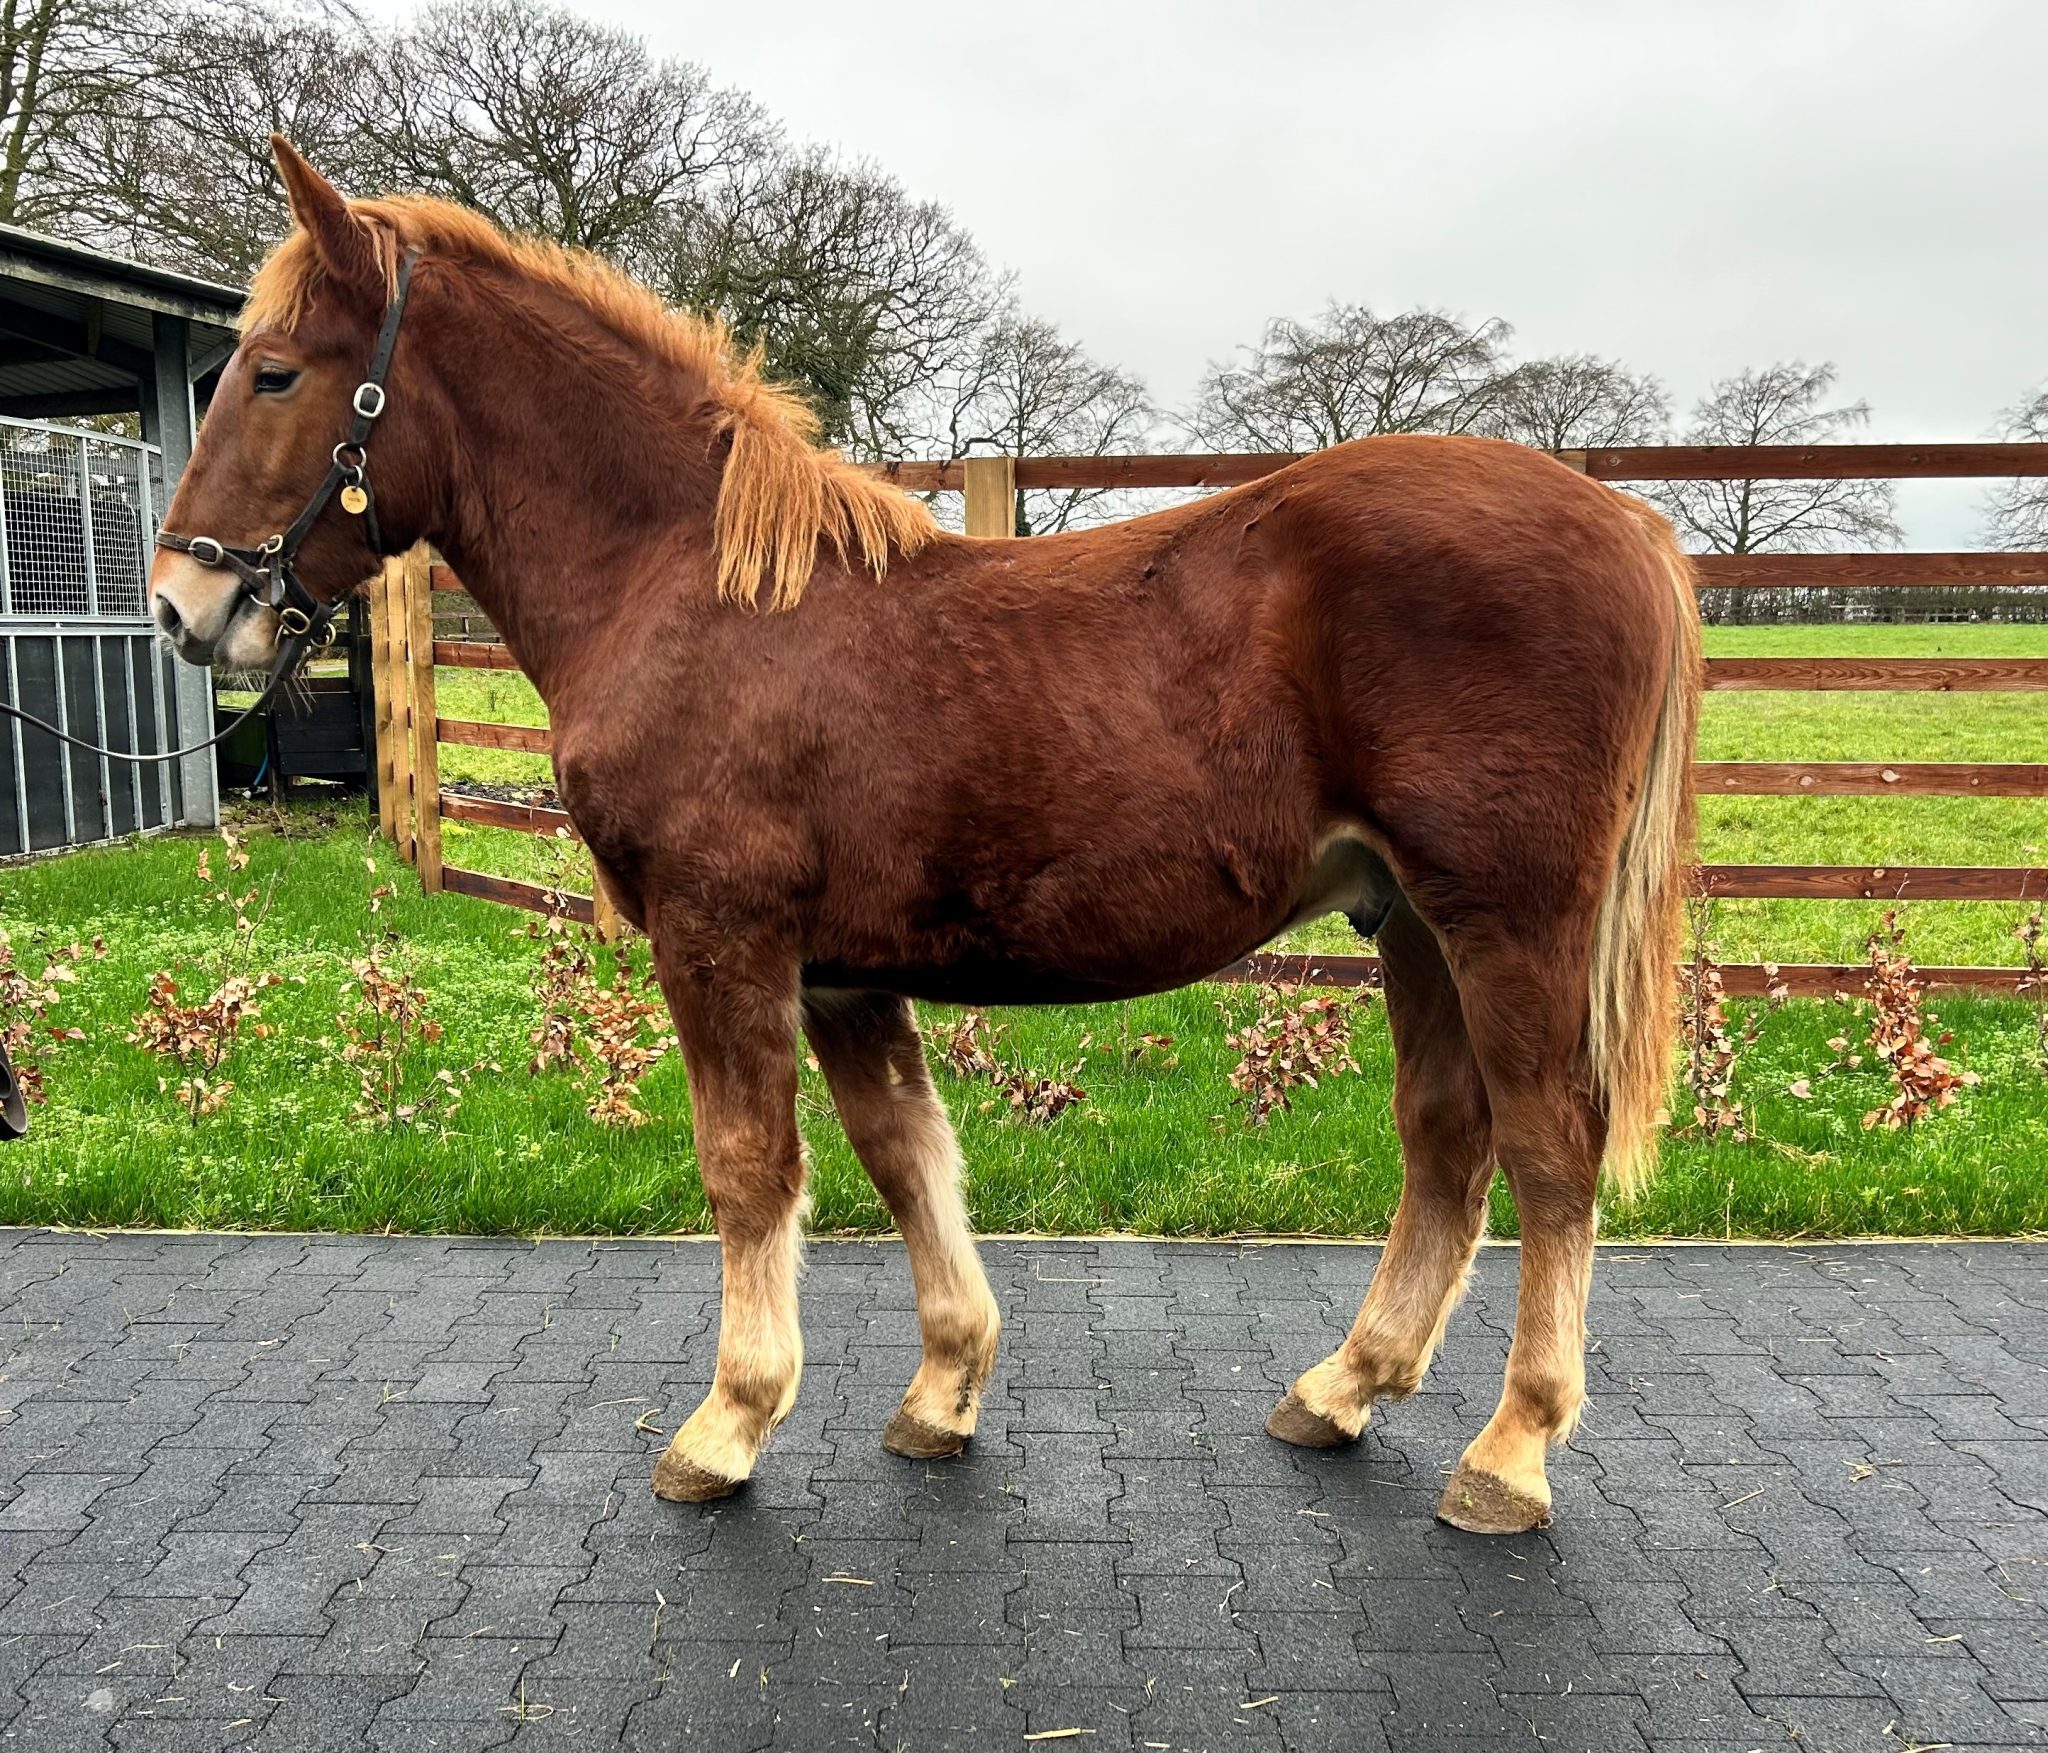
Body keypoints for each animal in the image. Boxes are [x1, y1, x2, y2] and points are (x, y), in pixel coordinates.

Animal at [149, 138, 1700, 1535]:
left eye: (276, 370)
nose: (179, 605)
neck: (691, 587)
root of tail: (1626, 519)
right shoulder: (842, 968)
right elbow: (904, 1155)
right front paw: (943, 1390)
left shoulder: (724, 940)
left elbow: (750, 1167)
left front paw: (727, 1423)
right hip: (1413, 919)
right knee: (1448, 1138)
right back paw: (1344, 1387)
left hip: (1508, 921)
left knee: (1552, 1148)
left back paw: (1507, 1455)